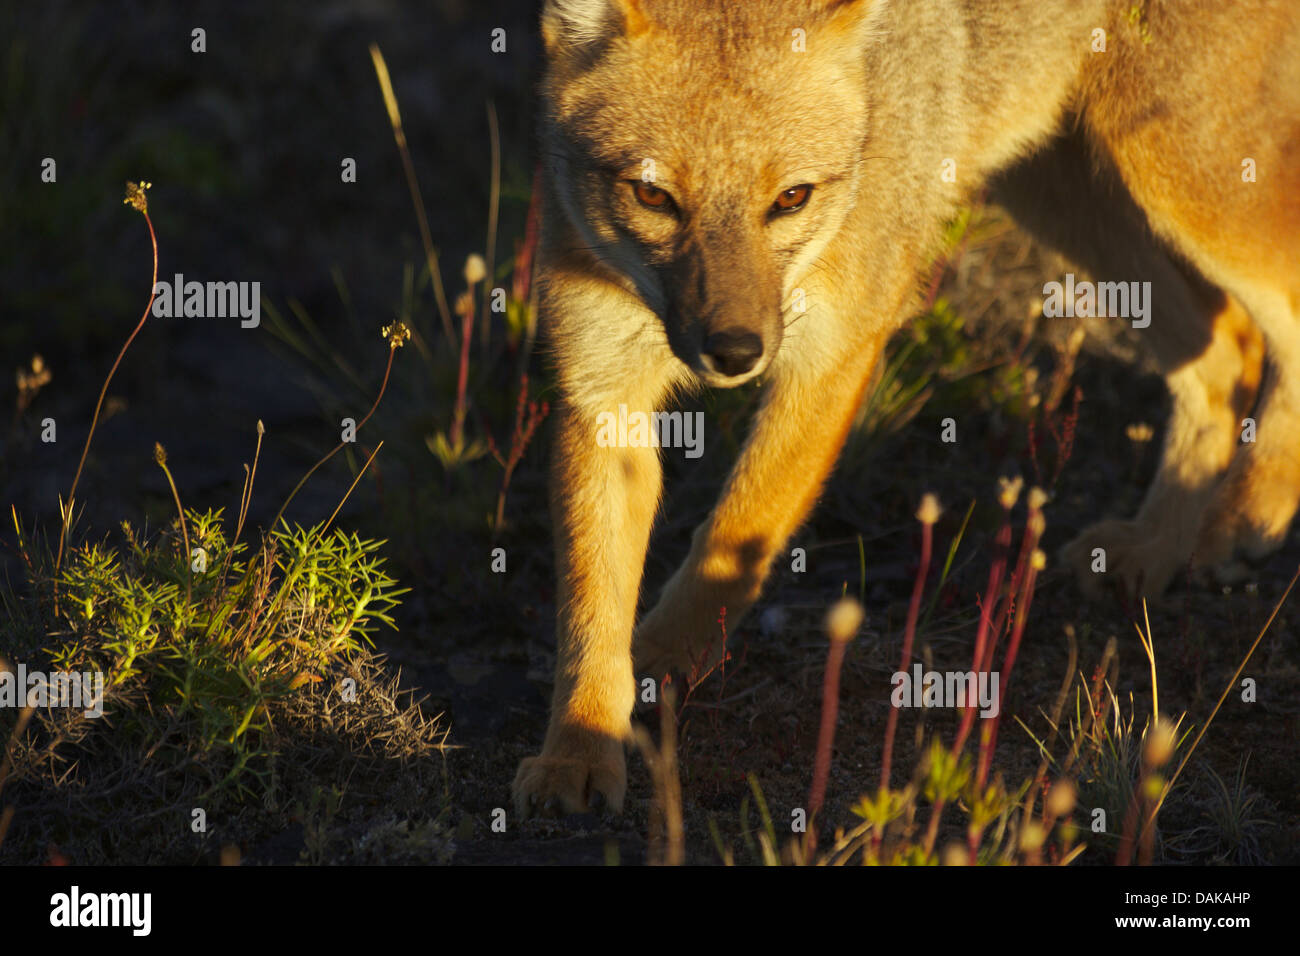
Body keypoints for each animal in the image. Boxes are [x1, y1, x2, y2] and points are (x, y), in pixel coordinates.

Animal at [513, 0, 1300, 816]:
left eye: (791, 199)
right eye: (654, 197)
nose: (734, 351)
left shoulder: (835, 351)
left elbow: (734, 533)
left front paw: (667, 656)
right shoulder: (602, 387)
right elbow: (590, 609)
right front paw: (579, 746)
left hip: (1181, 177)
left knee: (1276, 318)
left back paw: (1250, 511)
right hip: (1069, 192)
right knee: (1226, 349)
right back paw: (1158, 546)